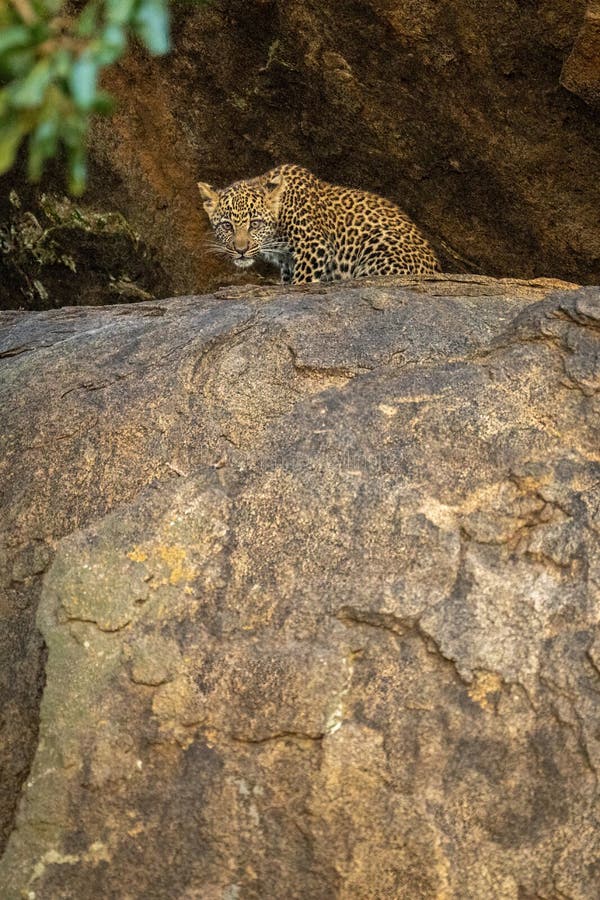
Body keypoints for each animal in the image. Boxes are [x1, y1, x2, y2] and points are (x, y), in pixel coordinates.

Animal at [197, 164, 440, 285]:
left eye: (255, 224)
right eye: (227, 226)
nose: (241, 250)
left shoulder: (314, 248)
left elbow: (302, 282)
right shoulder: (288, 263)